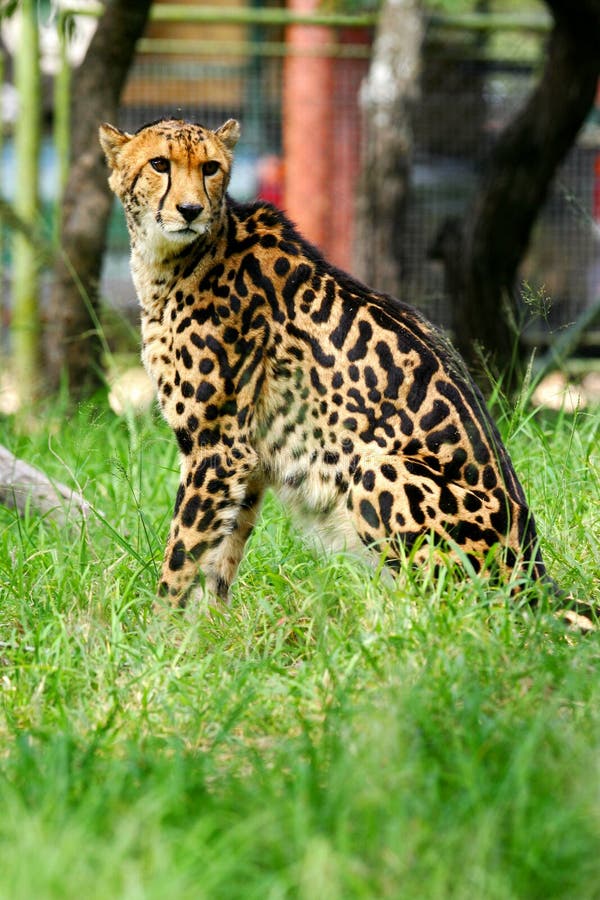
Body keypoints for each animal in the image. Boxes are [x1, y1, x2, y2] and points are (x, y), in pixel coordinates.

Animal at [99, 116, 551, 609]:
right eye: (159, 164)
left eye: (210, 167)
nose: (189, 210)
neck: (175, 261)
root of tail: (538, 580)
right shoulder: (246, 461)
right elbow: (220, 554)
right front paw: (211, 625)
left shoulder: (218, 449)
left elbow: (182, 554)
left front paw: (158, 626)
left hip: (377, 469)